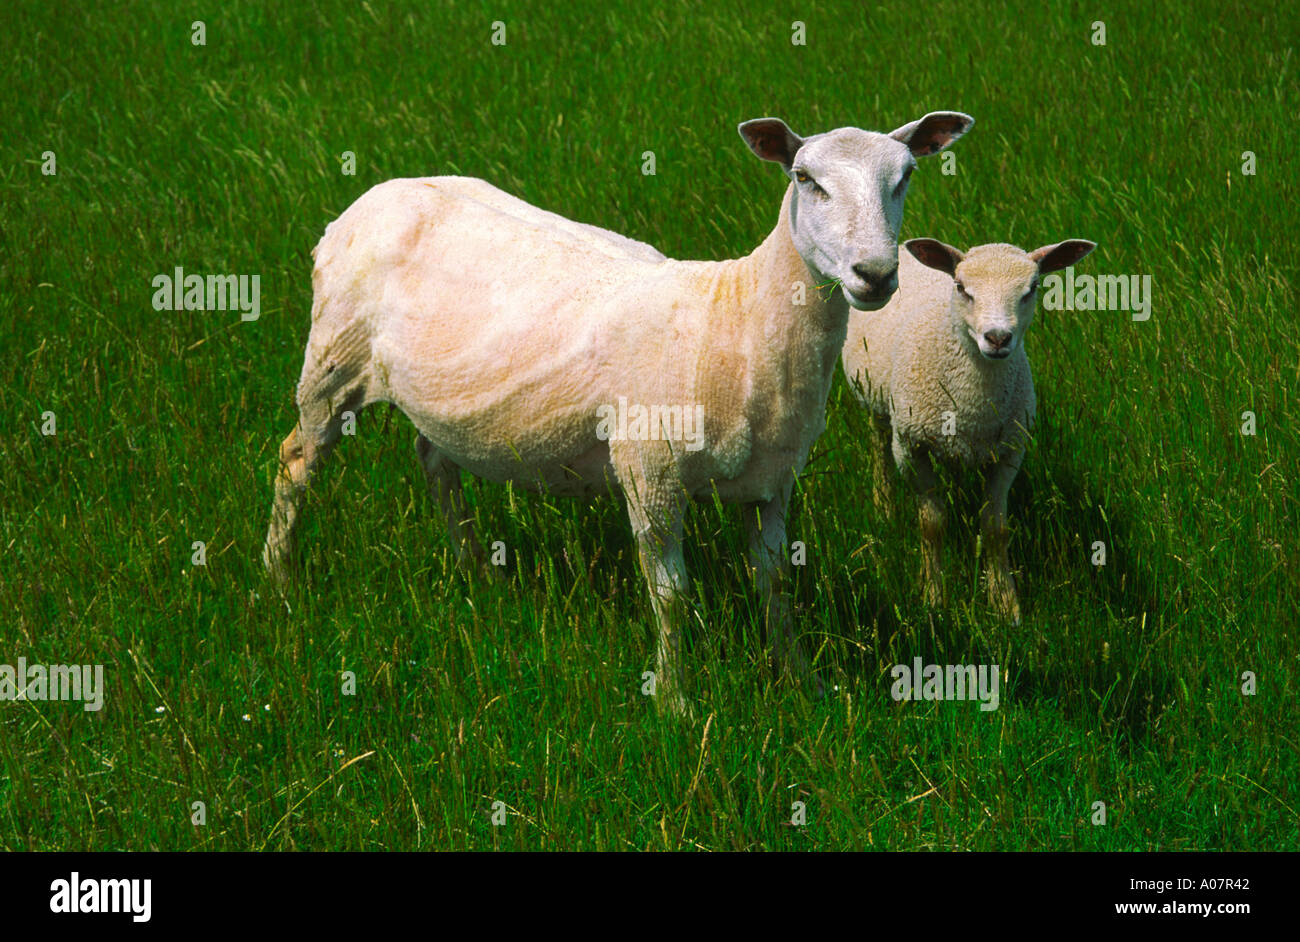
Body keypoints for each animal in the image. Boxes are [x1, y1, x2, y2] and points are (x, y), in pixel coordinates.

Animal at [261, 112, 974, 715]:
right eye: (805, 179)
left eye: (905, 177)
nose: (875, 274)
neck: (737, 318)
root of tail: (375, 195)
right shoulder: (649, 472)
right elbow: (671, 595)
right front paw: (677, 702)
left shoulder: (772, 482)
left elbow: (775, 584)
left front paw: (802, 679)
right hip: (332, 358)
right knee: (295, 463)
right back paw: (280, 582)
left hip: (444, 395)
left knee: (435, 460)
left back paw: (472, 573)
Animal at [841, 238, 1095, 623]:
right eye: (961, 287)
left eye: (1032, 288)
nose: (998, 337)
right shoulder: (911, 447)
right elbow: (932, 525)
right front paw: (934, 599)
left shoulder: (1010, 452)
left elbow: (995, 529)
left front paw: (1006, 605)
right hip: (874, 399)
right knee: (878, 449)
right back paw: (883, 507)